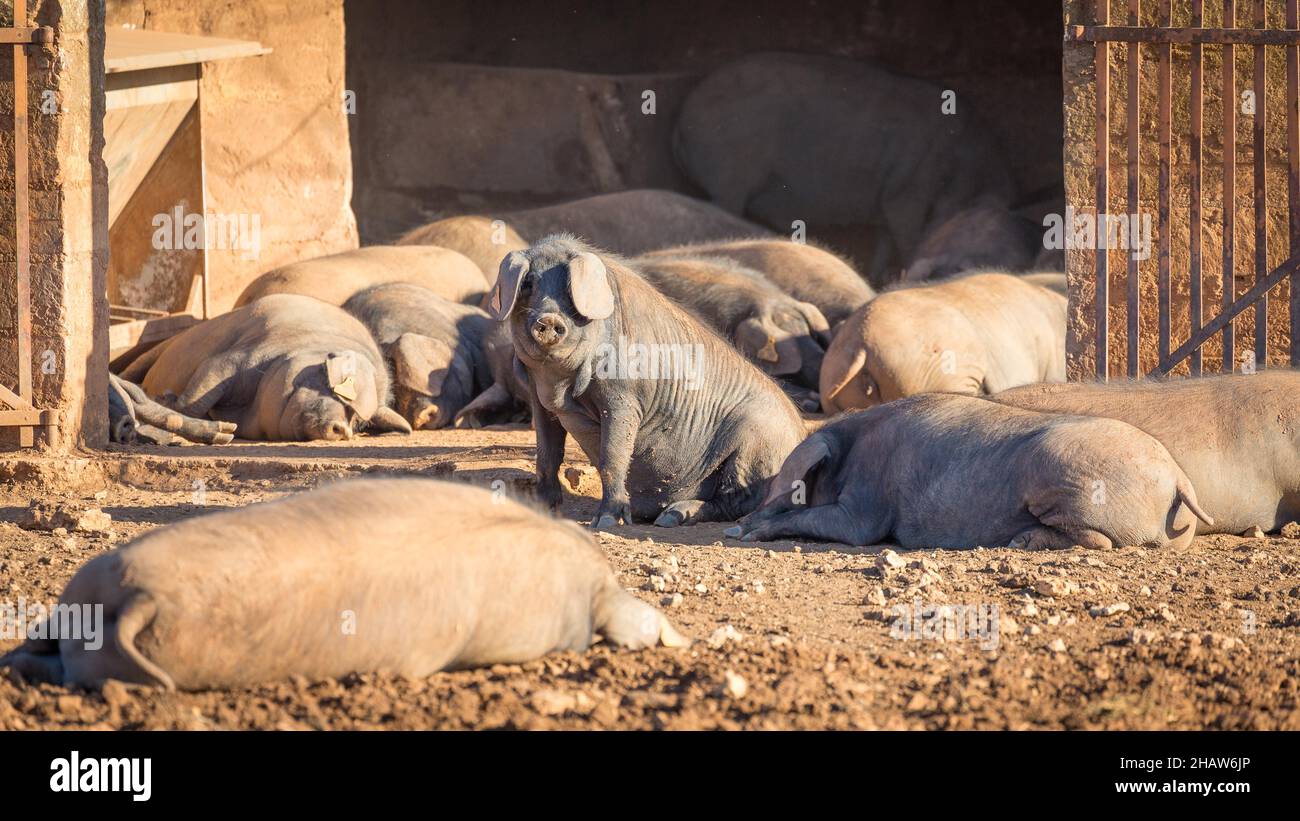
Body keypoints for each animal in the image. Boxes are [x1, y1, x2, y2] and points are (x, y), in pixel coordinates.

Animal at [119, 294, 411, 441]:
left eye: (359, 421)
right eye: (338, 392)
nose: (344, 431)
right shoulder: (240, 357)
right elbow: (199, 393)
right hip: (165, 345)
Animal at [489, 235, 806, 528]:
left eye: (570, 290)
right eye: (529, 284)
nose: (549, 320)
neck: (558, 382)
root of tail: (799, 435)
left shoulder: (624, 399)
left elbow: (612, 457)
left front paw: (606, 521)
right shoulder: (540, 399)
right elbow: (547, 455)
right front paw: (541, 511)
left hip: (753, 446)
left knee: (736, 502)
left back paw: (672, 516)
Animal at [673, 53, 1014, 280]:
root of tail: (682, 122)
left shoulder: (892, 196)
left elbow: (886, 239)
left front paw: (875, 278)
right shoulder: (911, 185)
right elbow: (907, 233)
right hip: (731, 170)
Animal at [728, 393, 1213, 550]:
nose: (736, 521)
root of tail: (1178, 479)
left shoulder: (866, 505)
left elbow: (843, 526)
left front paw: (744, 534)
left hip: (1063, 471)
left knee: (1100, 540)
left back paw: (1021, 542)